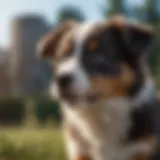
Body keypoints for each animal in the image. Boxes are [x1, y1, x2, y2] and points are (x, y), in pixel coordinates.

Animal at [37, 15, 159, 160]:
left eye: (98, 55)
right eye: (61, 56)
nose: (60, 80)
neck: (99, 112)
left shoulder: (146, 148)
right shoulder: (80, 151)